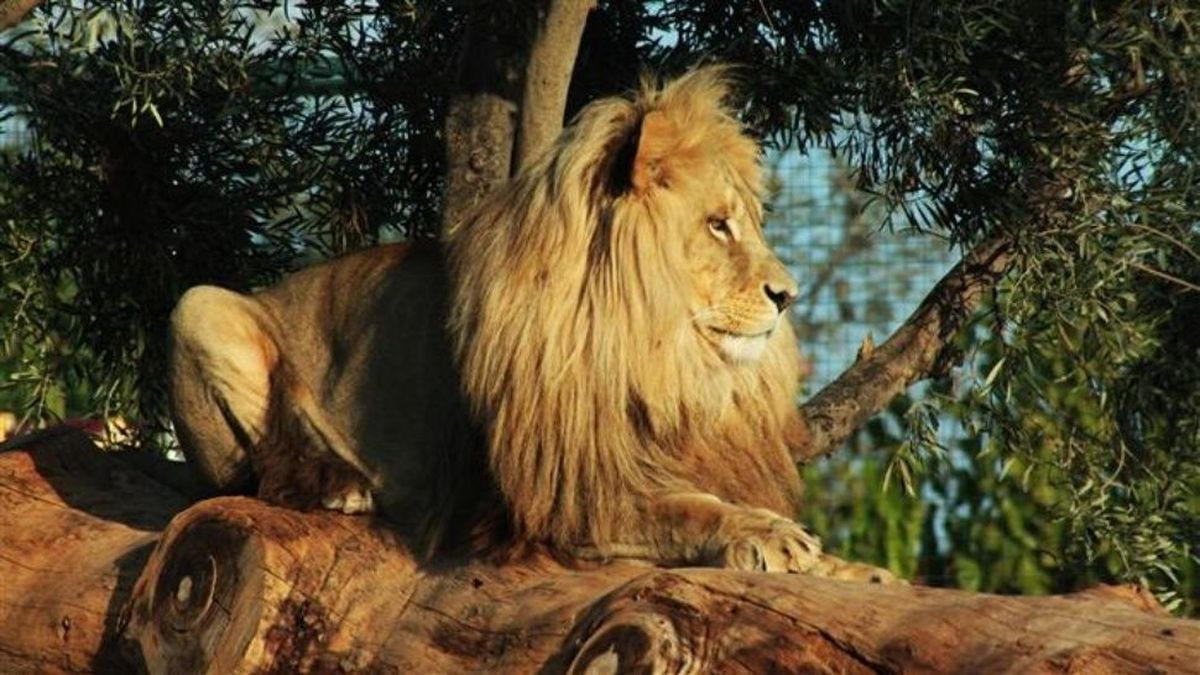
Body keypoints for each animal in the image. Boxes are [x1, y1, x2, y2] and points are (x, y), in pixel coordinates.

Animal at [168, 67, 888, 579]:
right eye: (718, 225)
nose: (788, 294)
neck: (653, 355)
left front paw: (856, 569)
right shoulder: (557, 497)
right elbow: (684, 510)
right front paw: (766, 533)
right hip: (198, 306)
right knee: (257, 472)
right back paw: (336, 484)